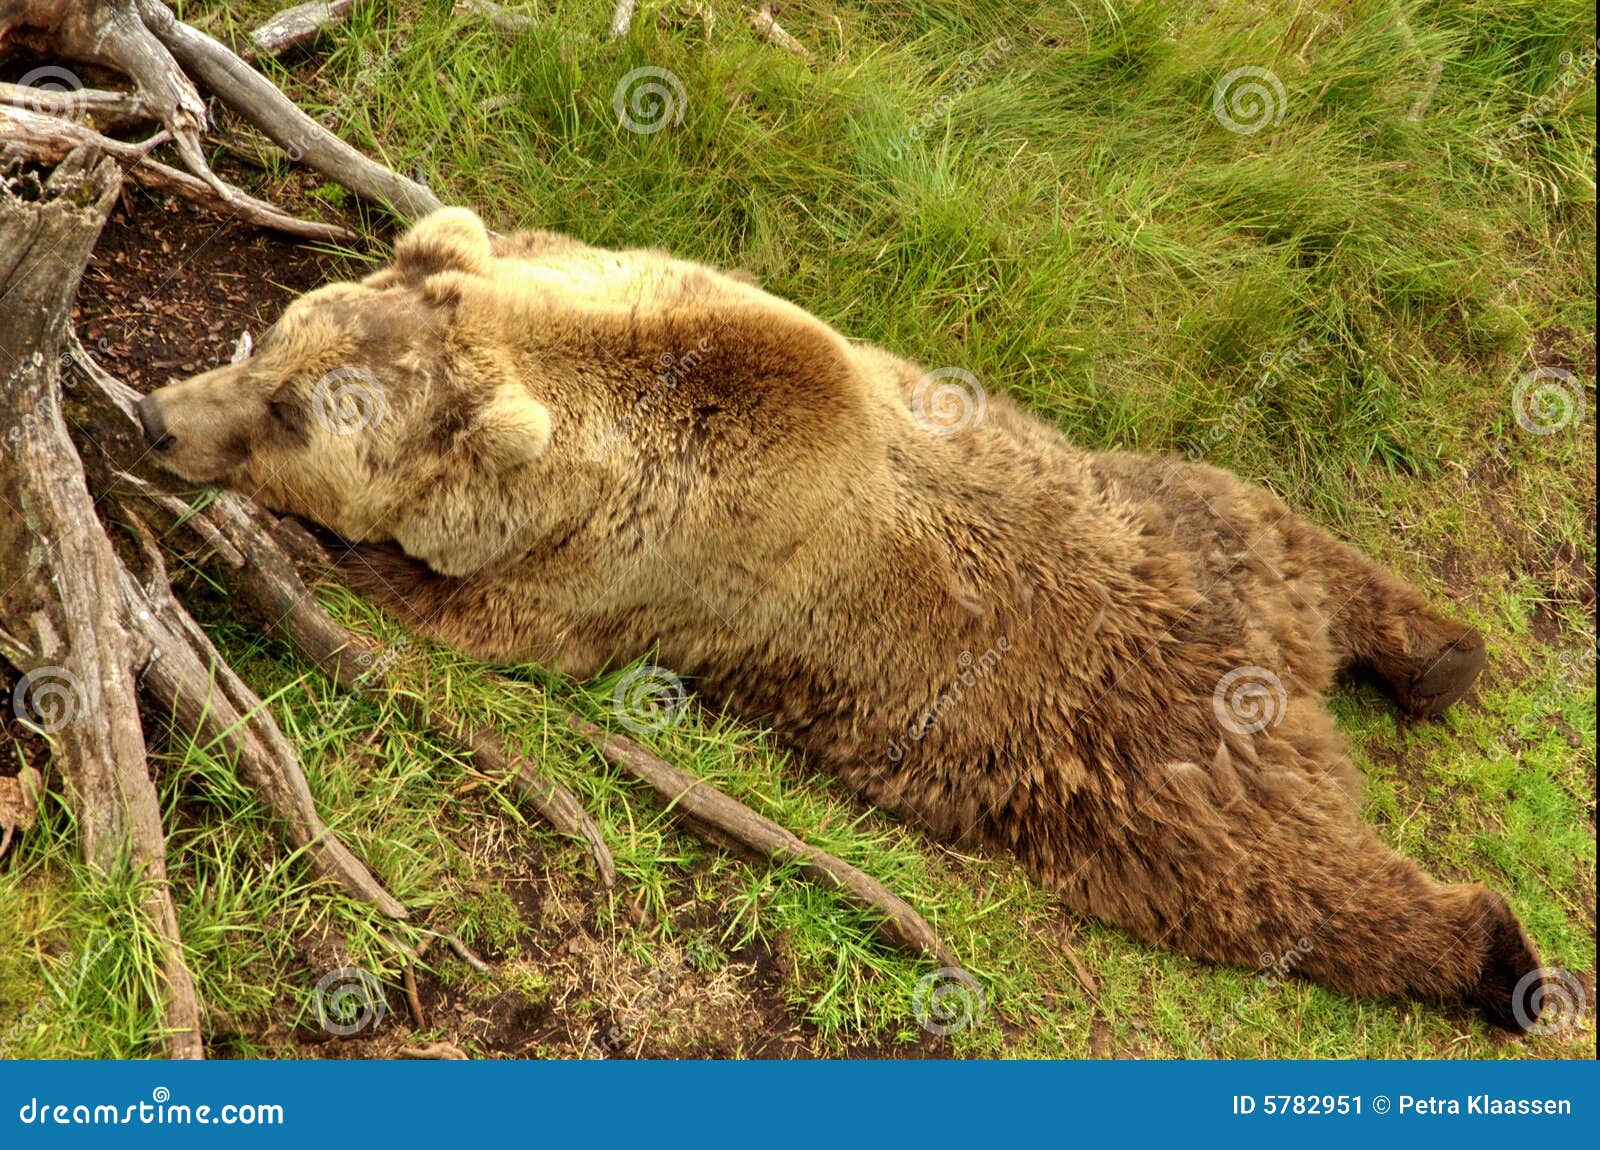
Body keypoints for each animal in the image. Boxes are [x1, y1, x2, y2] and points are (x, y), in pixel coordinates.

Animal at [138, 207, 1547, 1032]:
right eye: (278, 344)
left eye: (293, 418)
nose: (159, 417)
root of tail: (1276, 675)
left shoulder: (635, 577)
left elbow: (485, 625)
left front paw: (323, 549)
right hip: (1194, 525)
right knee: (1288, 528)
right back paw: (1444, 656)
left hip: (1140, 765)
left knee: (1278, 885)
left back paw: (1503, 960)